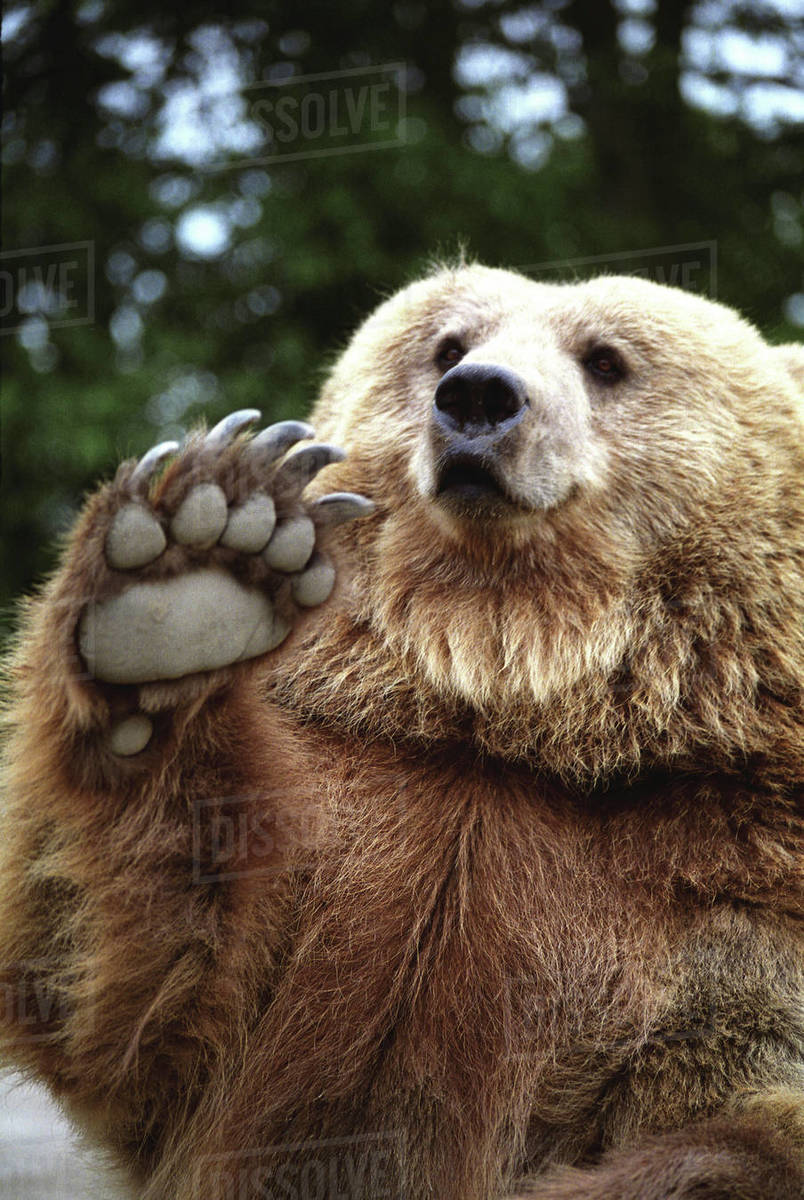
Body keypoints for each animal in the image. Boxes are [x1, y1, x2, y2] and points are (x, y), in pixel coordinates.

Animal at [0, 263, 802, 1200]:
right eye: (448, 346)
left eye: (607, 359)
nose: (481, 395)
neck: (504, 711)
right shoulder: (347, 827)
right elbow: (119, 982)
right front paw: (190, 570)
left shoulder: (724, 873)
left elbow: (732, 1104)